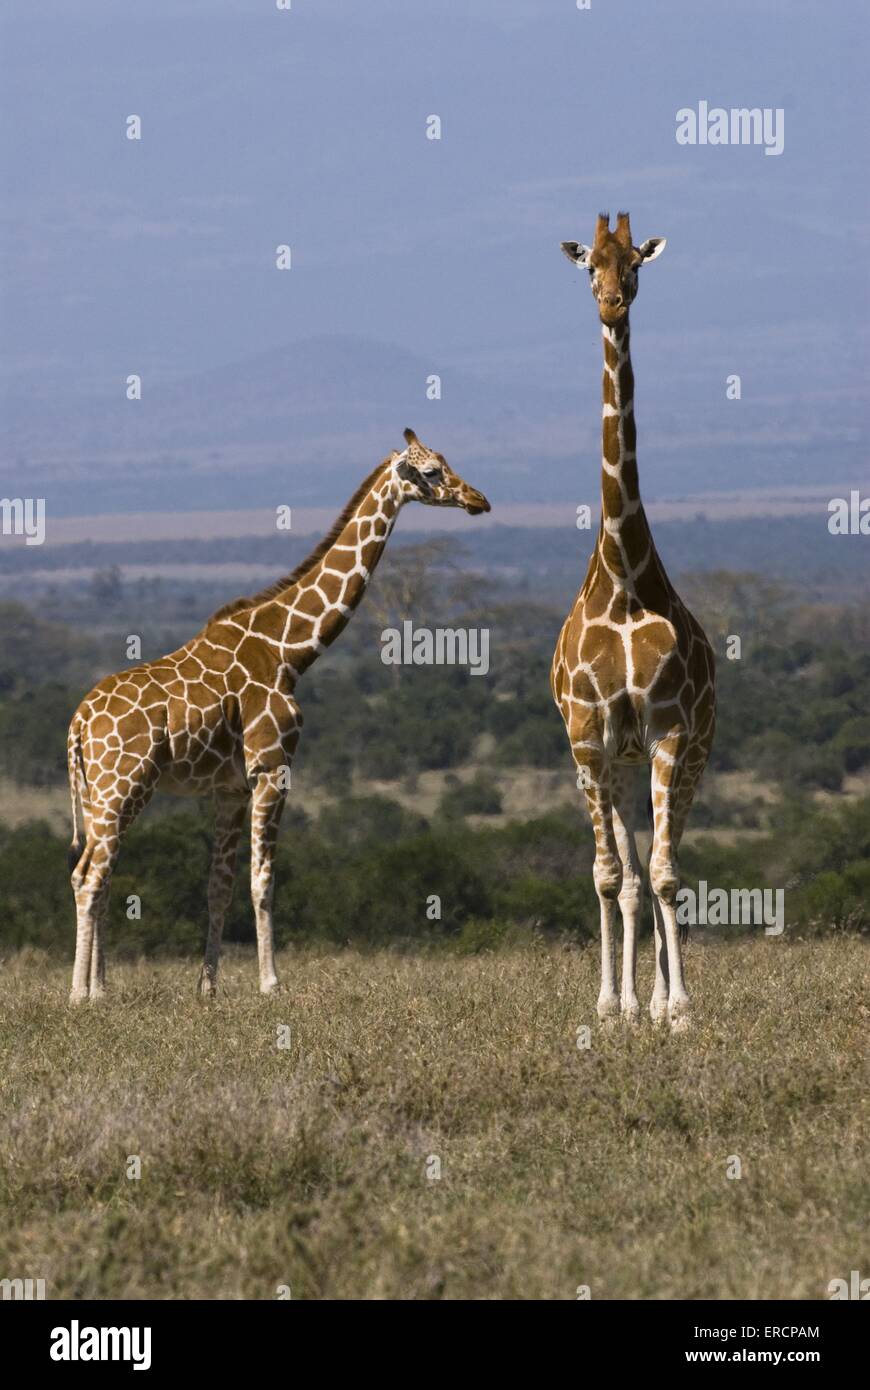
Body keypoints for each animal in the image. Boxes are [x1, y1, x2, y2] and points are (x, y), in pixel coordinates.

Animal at [67, 430, 490, 1003]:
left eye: (445, 463)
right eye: (429, 472)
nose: (477, 500)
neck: (290, 649)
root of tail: (77, 725)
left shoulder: (228, 788)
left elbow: (219, 886)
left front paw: (208, 987)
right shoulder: (272, 767)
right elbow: (262, 878)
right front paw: (271, 982)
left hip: (101, 793)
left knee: (93, 874)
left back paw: (100, 988)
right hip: (122, 786)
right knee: (91, 877)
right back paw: (79, 994)